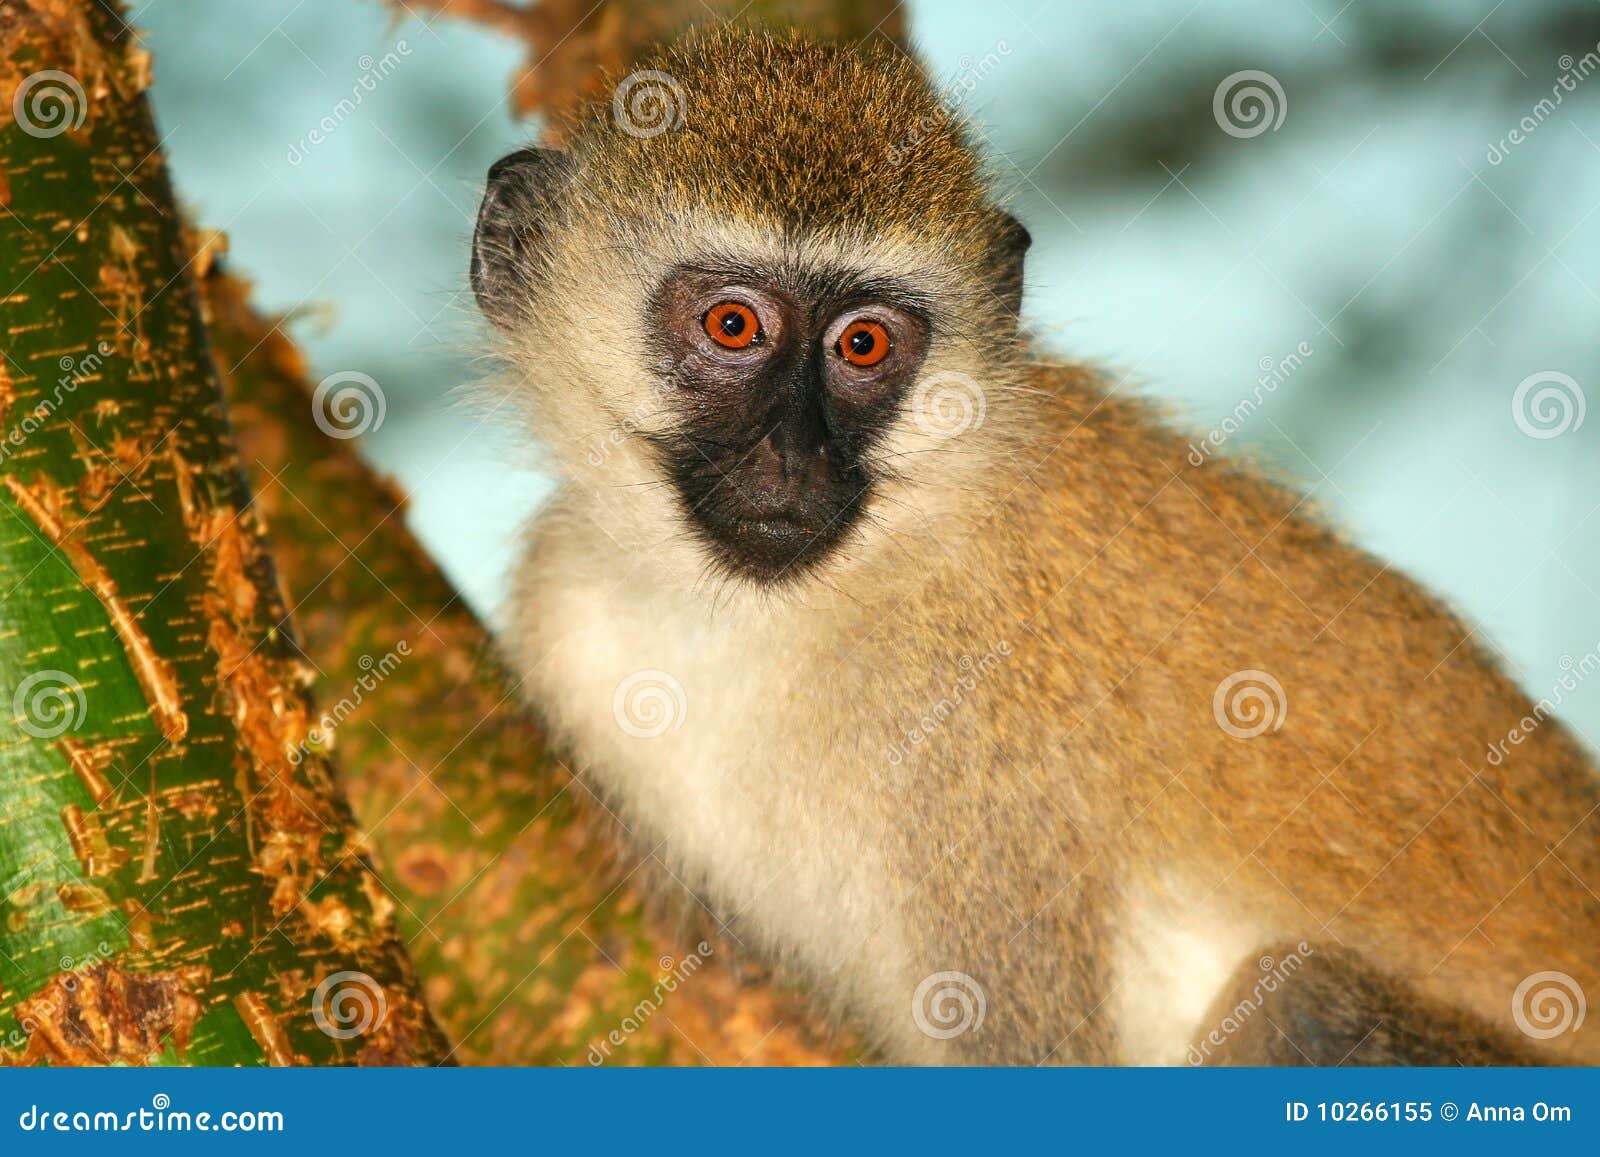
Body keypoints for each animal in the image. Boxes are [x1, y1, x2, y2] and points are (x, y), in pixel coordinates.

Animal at [472, 27, 1600, 1065]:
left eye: (863, 345)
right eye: (734, 325)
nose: (793, 458)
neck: (778, 611)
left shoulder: (991, 760)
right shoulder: (563, 612)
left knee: (1303, 1008)